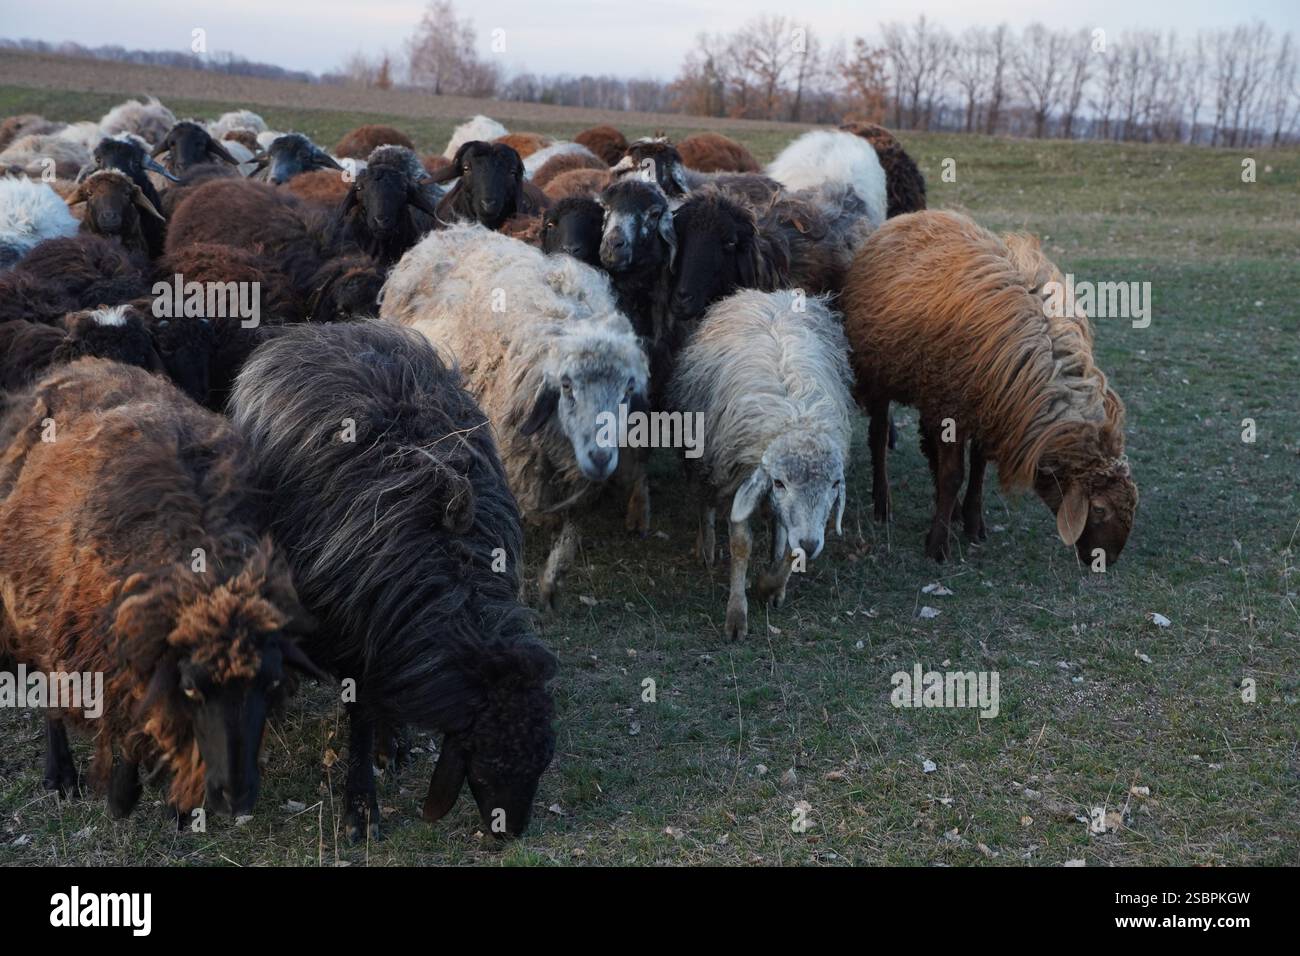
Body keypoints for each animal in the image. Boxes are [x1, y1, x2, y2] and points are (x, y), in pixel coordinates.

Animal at [0, 358, 319, 819]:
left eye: (271, 684)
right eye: (191, 687)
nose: (236, 798)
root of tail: (73, 366)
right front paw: (122, 796)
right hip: (32, 603)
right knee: (47, 682)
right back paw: (59, 774)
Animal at [229, 321, 558, 839]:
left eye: (542, 764)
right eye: (485, 765)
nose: (512, 834)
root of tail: (325, 329)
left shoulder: (382, 629)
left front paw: (387, 748)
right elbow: (359, 714)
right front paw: (361, 805)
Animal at [380, 224, 649, 606]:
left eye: (627, 390)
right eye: (567, 385)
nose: (600, 458)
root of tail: (449, 230)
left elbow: (571, 527)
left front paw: (551, 583)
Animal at [667, 289, 854, 640]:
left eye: (835, 485)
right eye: (779, 482)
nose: (811, 543)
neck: (795, 417)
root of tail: (765, 294)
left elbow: (792, 548)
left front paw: (770, 585)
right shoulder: (737, 475)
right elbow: (741, 545)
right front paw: (737, 614)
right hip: (705, 457)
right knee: (705, 501)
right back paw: (706, 545)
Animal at [841, 210, 1138, 563]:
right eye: (1100, 509)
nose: (1108, 560)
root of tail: (914, 216)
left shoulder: (986, 406)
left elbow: (978, 469)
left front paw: (972, 522)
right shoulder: (954, 407)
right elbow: (953, 475)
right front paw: (937, 545)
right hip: (881, 374)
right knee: (879, 436)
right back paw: (882, 503)